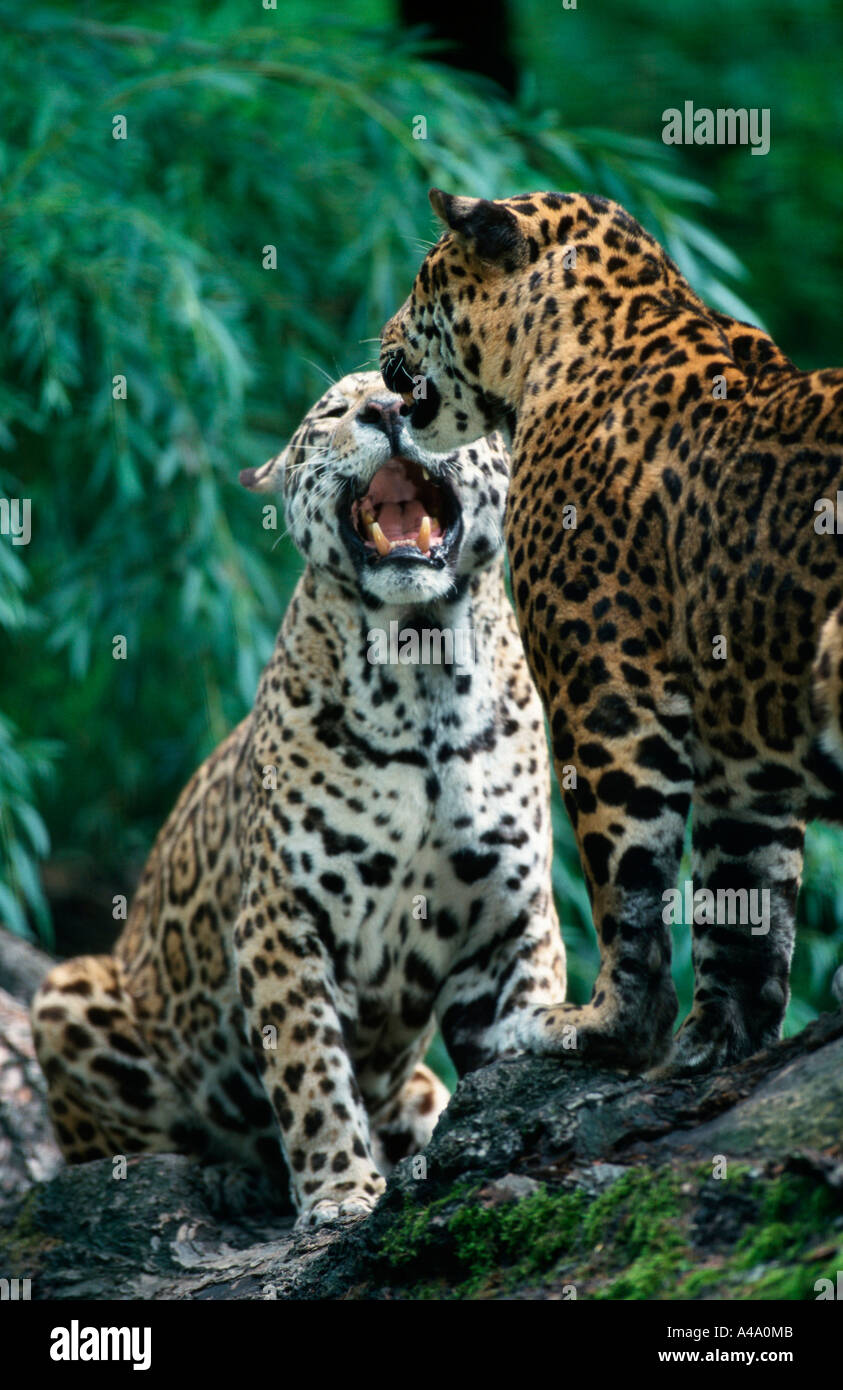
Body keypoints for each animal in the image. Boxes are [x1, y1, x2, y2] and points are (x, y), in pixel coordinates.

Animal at [31, 369, 565, 1227]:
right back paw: (229, 1178)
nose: (388, 410)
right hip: (67, 992)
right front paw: (341, 1192)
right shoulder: (280, 916)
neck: (422, 671)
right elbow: (311, 1072)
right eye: (335, 412)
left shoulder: (508, 913)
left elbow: (514, 1038)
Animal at [381, 188, 843, 1076]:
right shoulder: (737, 731)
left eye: (421, 279)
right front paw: (717, 1040)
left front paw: (604, 1026)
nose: (381, 343)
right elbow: (745, 892)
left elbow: (626, 878)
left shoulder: (607, 691)